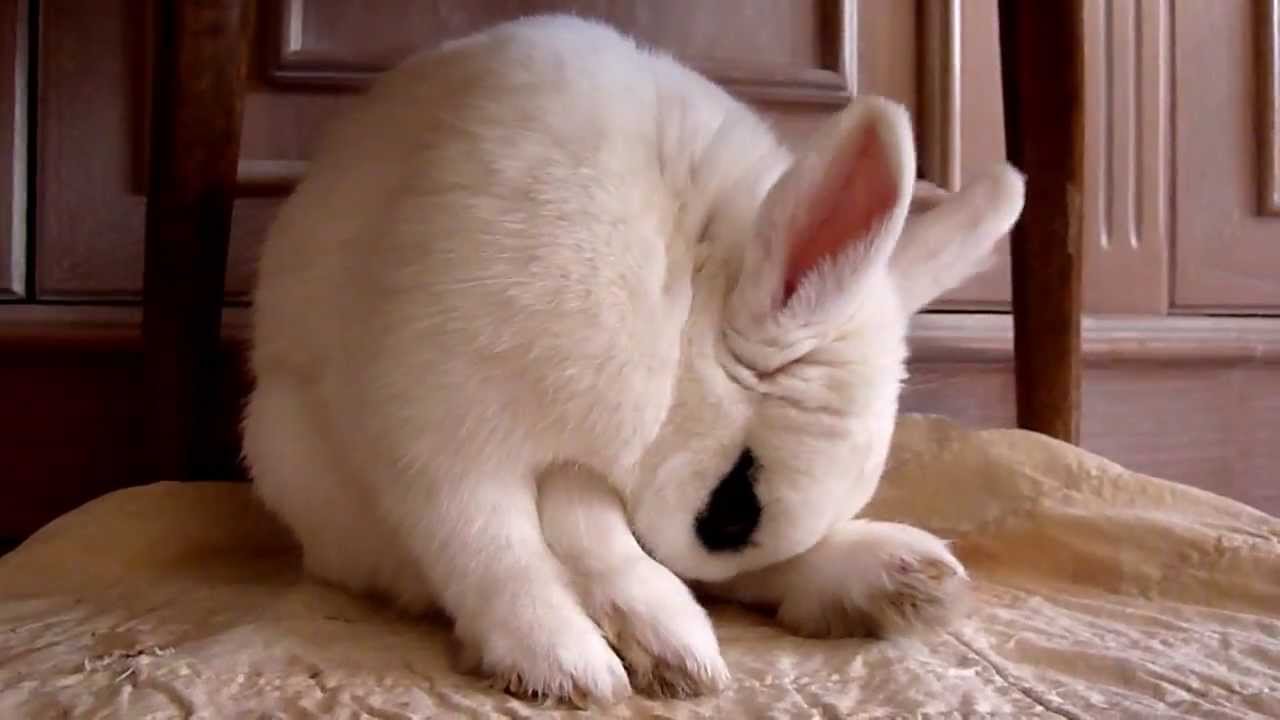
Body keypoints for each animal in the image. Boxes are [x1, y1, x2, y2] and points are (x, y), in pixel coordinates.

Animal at [241, 13, 1025, 708]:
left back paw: (895, 583)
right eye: (731, 507)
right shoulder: (440, 424)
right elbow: (493, 549)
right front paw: (564, 665)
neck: (676, 317)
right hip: (311, 468)